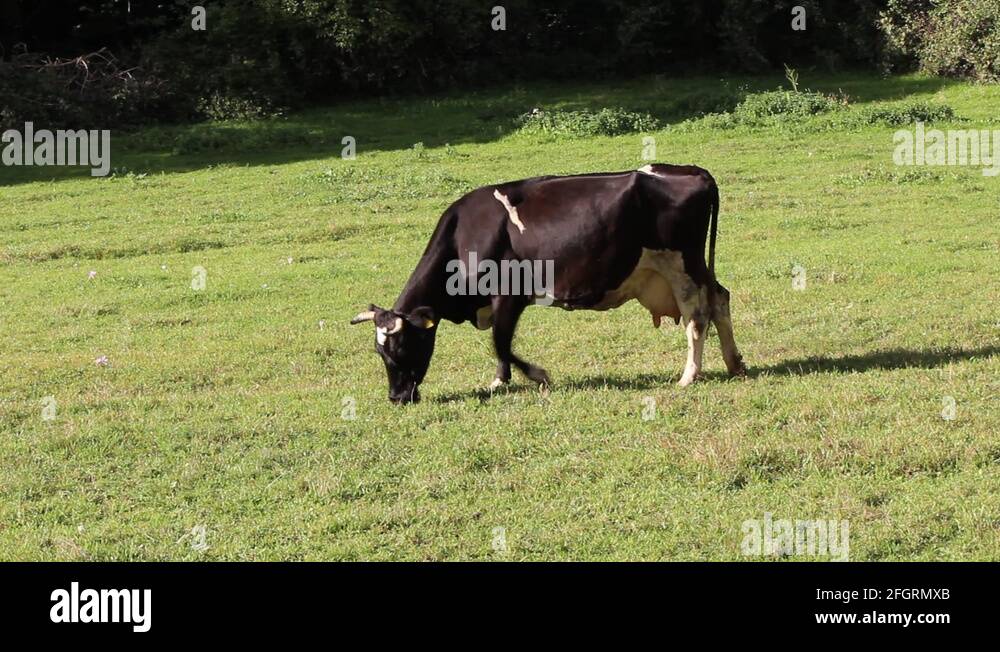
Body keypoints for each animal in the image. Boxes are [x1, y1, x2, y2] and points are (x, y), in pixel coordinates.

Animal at [350, 163, 746, 404]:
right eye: (379, 352)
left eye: (401, 347)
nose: (396, 397)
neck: (465, 237)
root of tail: (690, 171)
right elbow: (500, 347)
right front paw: (502, 380)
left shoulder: (509, 295)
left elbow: (501, 343)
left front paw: (535, 375)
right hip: (694, 268)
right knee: (720, 299)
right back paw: (734, 363)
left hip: (682, 267)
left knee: (698, 317)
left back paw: (689, 375)